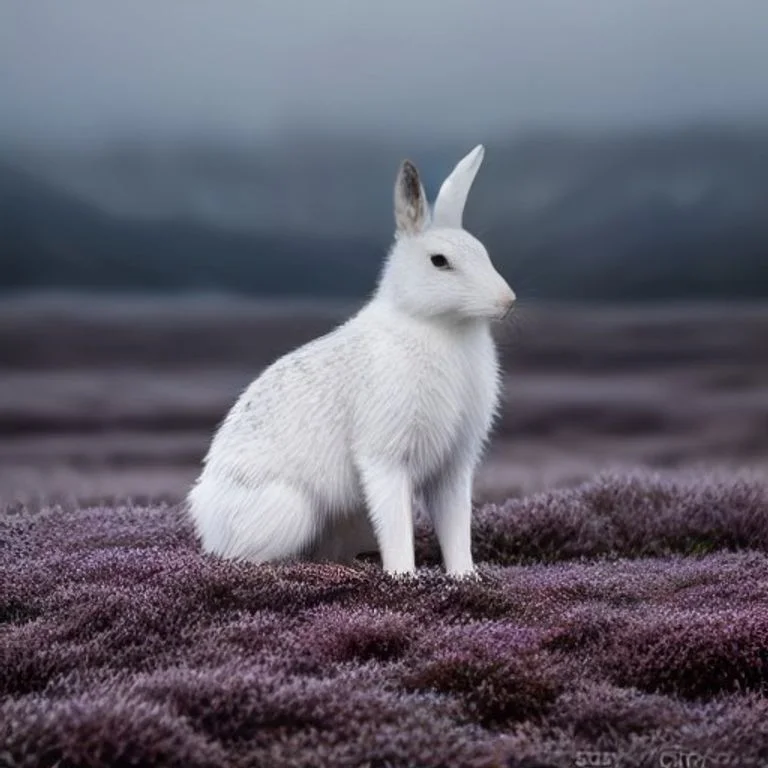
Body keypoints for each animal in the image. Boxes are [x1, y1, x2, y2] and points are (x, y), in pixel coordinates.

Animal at [187, 144, 515, 576]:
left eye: (482, 252)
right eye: (439, 261)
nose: (507, 301)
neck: (440, 326)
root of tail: (206, 520)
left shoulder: (454, 467)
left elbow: (456, 526)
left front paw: (464, 576)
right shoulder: (385, 457)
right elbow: (396, 524)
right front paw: (403, 576)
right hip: (289, 511)